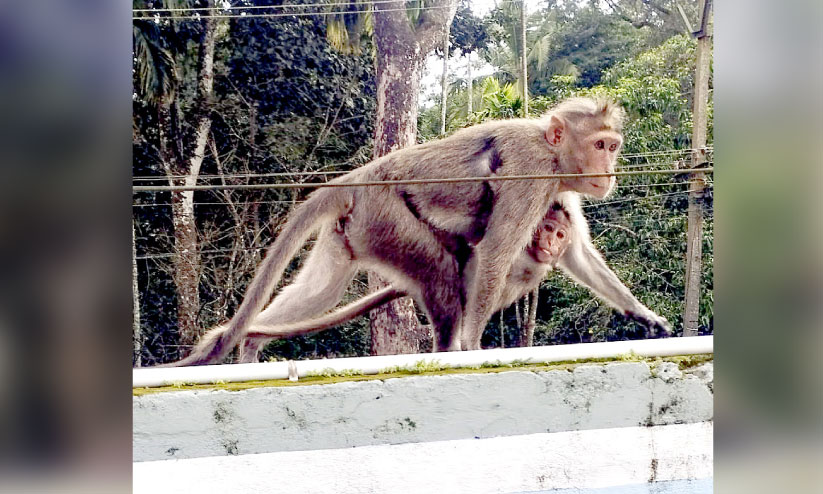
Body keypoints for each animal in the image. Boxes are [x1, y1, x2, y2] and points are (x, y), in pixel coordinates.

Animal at [170, 96, 659, 367]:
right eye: (600, 145)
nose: (609, 170)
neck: (552, 152)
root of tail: (357, 179)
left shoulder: (560, 189)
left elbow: (579, 255)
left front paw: (642, 313)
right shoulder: (532, 172)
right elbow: (497, 251)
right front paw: (473, 345)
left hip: (354, 232)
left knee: (319, 293)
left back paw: (251, 340)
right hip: (388, 220)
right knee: (441, 274)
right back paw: (448, 347)